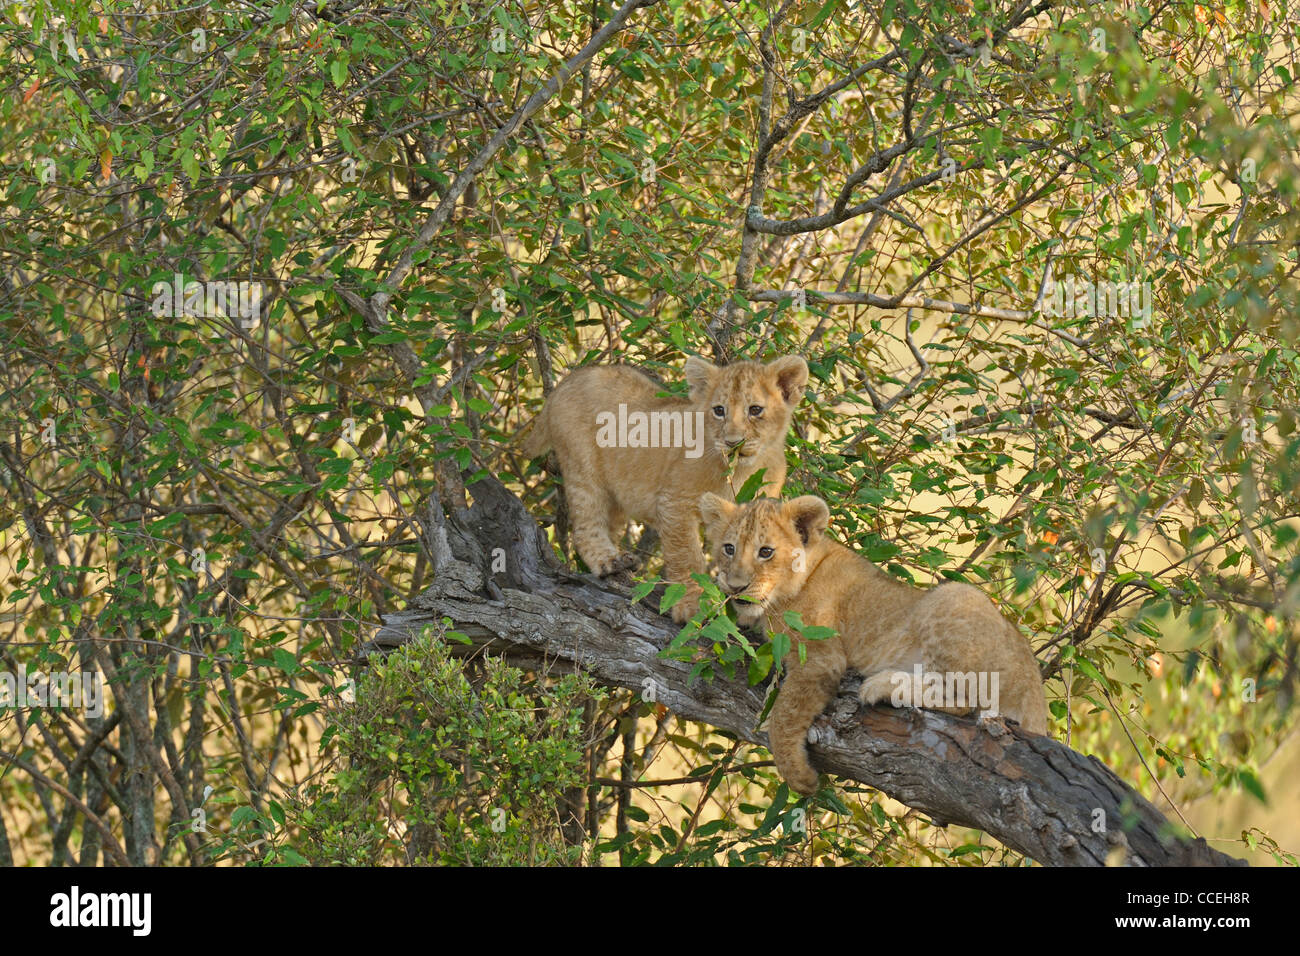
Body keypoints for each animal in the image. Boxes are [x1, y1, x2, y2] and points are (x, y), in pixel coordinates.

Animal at [520, 355, 808, 622]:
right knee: (584, 526)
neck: (741, 471)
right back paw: (608, 562)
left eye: (755, 410)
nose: (732, 443)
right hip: (583, 467)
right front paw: (692, 606)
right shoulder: (674, 502)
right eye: (719, 410)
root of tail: (563, 385)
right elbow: (686, 556)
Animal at [699, 493, 1049, 795]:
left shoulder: (821, 657)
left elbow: (785, 713)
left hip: (952, 596)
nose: (735, 586)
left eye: (766, 552)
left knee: (965, 698)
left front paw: (797, 774)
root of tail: (1035, 693)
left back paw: (881, 686)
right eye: (729, 548)